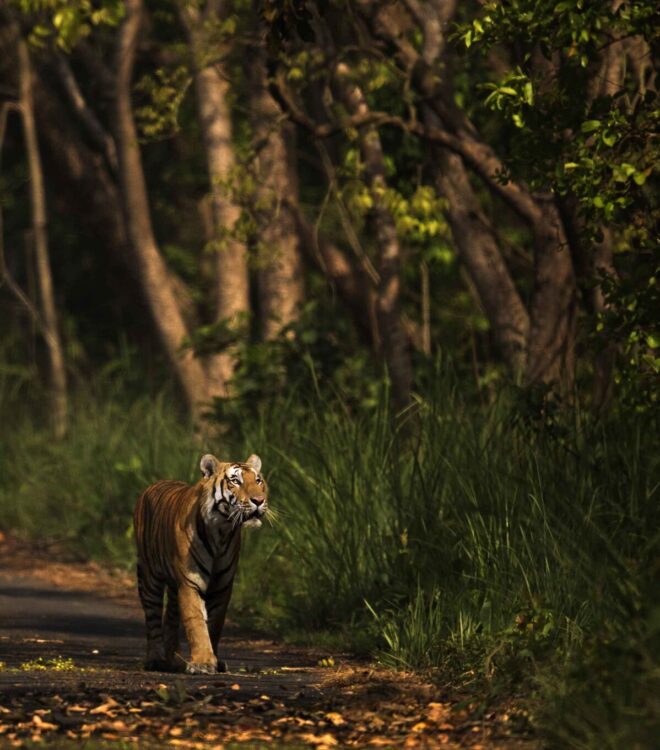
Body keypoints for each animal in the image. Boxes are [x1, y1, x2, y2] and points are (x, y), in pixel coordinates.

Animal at [133, 452, 268, 674]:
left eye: (258, 481)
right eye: (235, 481)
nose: (259, 500)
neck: (222, 532)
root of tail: (154, 484)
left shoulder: (222, 587)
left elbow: (214, 624)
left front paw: (214, 660)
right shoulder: (190, 583)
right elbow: (196, 623)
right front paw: (203, 662)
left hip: (173, 586)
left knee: (170, 617)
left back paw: (175, 659)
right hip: (149, 577)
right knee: (152, 618)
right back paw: (154, 659)